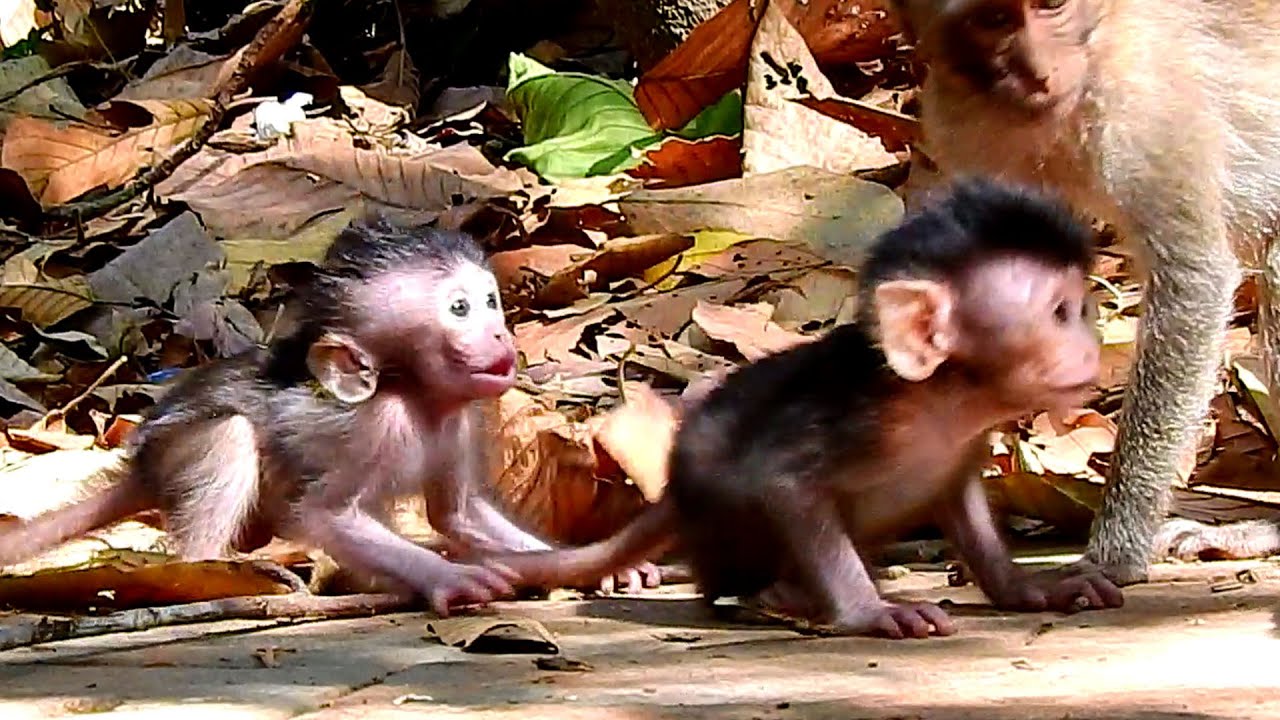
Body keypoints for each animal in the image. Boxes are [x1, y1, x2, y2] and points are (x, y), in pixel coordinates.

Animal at [0, 218, 654, 615]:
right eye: (460, 309)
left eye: (490, 301)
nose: (499, 333)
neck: (415, 396)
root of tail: (141, 466)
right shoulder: (377, 424)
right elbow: (322, 514)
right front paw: (445, 576)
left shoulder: (458, 420)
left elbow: (459, 515)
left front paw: (603, 569)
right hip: (176, 448)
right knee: (230, 437)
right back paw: (222, 570)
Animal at [487, 179, 1125, 638]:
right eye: (1060, 313)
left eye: (1083, 309)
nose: (1091, 348)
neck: (940, 401)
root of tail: (676, 491)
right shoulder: (860, 420)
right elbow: (783, 481)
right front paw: (871, 612)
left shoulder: (961, 443)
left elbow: (963, 504)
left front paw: (1028, 590)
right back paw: (770, 593)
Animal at [887, 0, 1280, 582]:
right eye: (993, 19)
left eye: (1051, 6)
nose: (1039, 72)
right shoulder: (961, 126)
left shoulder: (1147, 106)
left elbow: (1194, 279)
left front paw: (1115, 551)